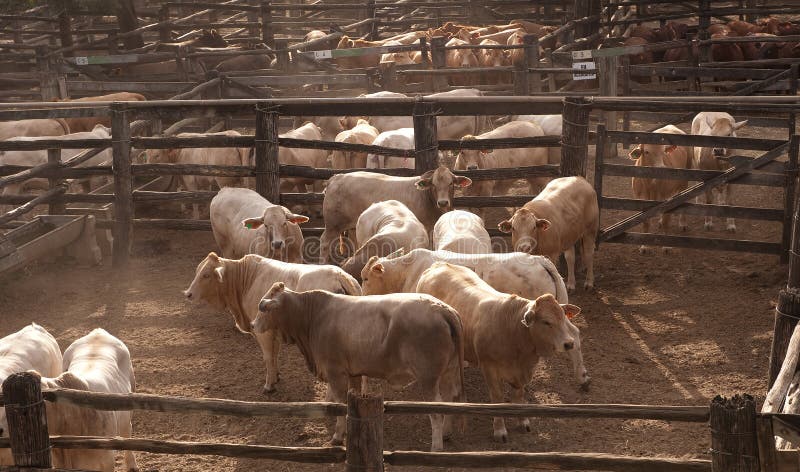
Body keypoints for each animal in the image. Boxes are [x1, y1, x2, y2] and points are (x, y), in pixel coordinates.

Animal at [184, 252, 361, 394]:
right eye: (197, 271)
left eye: (206, 275)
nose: (188, 294)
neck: (246, 280)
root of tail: (338, 274)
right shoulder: (274, 331)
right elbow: (275, 354)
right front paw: (276, 377)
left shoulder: (263, 332)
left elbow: (268, 357)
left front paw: (269, 385)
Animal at [251, 282, 465, 451]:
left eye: (263, 308)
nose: (253, 325)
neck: (313, 317)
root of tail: (442, 308)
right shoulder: (352, 372)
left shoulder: (335, 372)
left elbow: (340, 402)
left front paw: (338, 436)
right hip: (447, 372)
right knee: (449, 400)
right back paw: (446, 433)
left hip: (428, 379)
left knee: (436, 411)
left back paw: (436, 447)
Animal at [319, 166, 472, 263]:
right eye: (433, 184)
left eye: (451, 183)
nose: (443, 202)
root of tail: (336, 177)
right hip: (333, 225)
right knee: (325, 242)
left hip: (351, 227)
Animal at [416, 262, 582, 442]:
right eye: (546, 322)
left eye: (563, 317)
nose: (569, 343)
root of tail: (439, 264)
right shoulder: (489, 367)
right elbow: (497, 397)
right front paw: (500, 429)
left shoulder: (523, 372)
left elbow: (518, 395)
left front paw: (523, 421)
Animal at [629, 124, 691, 253]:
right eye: (647, 151)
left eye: (664, 152)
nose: (662, 167)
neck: (651, 185)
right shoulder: (640, 199)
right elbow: (646, 222)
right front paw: (644, 246)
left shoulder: (668, 197)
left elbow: (666, 220)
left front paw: (666, 246)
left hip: (684, 181)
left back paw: (682, 223)